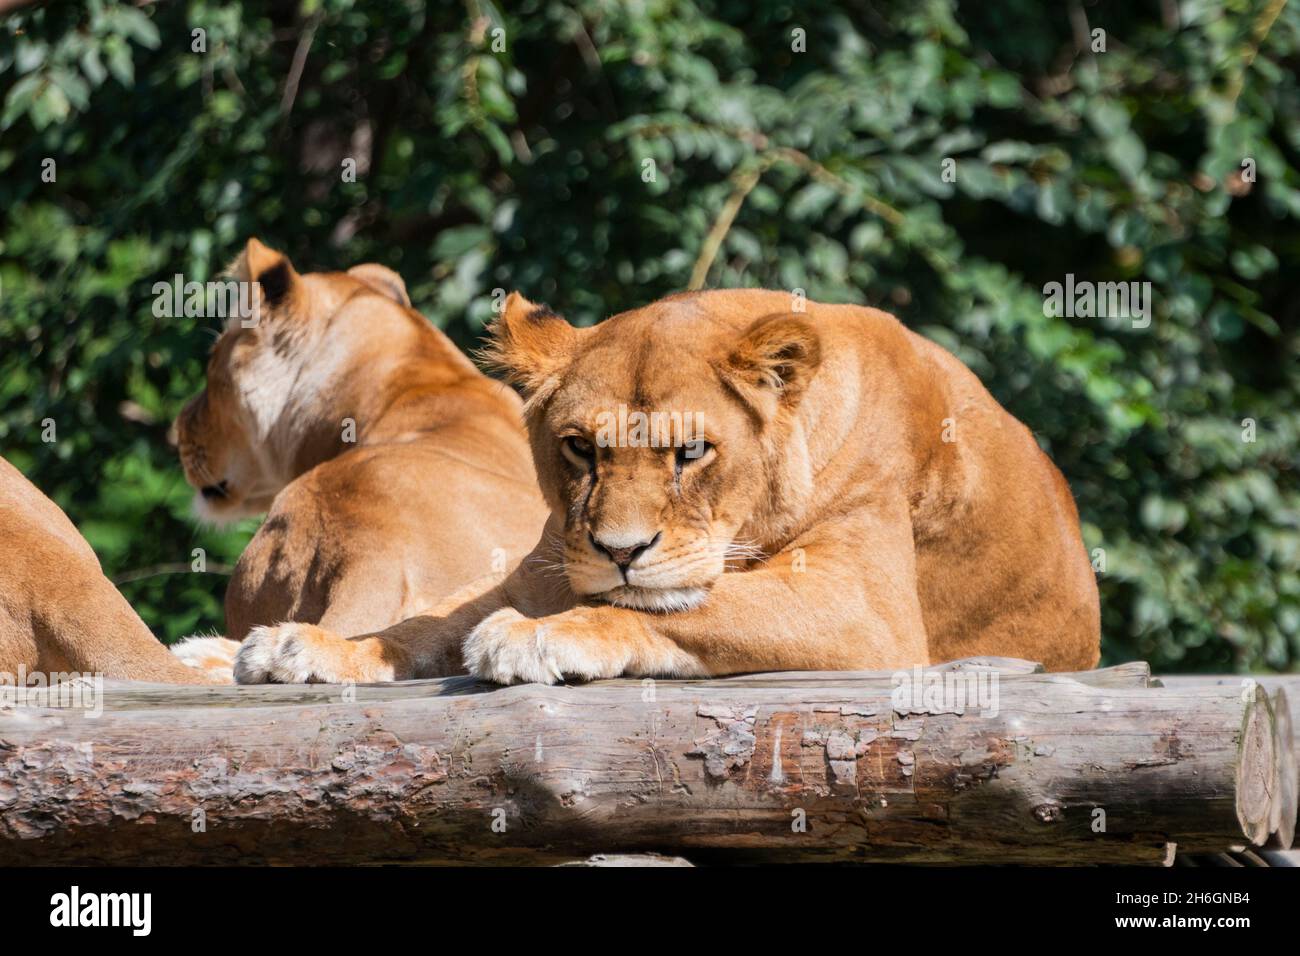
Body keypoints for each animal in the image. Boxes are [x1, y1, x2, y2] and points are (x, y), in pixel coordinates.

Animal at [232, 288, 1100, 684]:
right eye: (580, 448)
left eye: (690, 452)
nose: (620, 550)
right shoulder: (534, 571)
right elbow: (420, 626)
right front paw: (306, 647)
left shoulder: (871, 617)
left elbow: (687, 606)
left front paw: (538, 637)